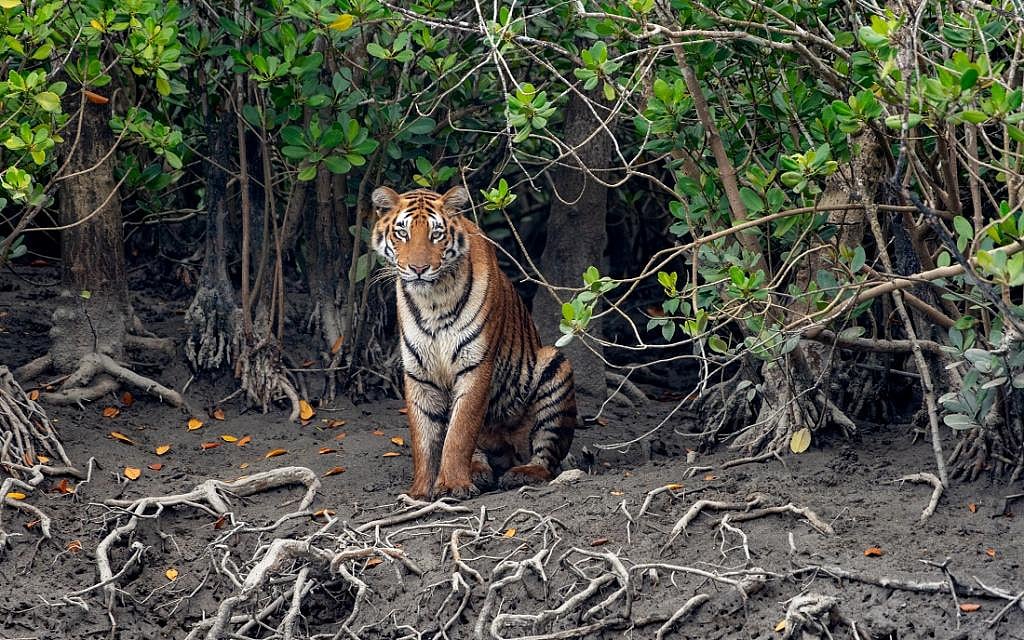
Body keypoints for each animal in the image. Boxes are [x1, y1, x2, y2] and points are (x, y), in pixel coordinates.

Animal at [371, 185, 577, 499]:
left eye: (436, 234)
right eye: (402, 233)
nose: (418, 268)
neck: (432, 300)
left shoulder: (475, 365)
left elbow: (459, 432)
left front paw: (453, 485)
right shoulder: (419, 373)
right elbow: (424, 439)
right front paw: (419, 492)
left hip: (554, 363)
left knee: (545, 455)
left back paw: (522, 473)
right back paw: (479, 471)